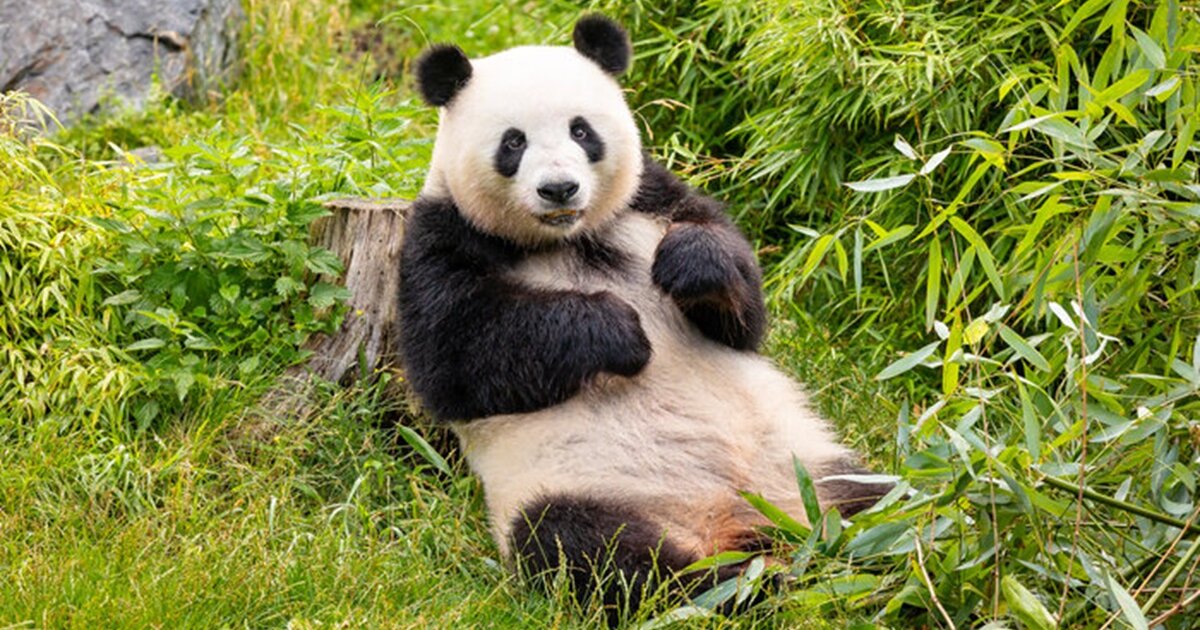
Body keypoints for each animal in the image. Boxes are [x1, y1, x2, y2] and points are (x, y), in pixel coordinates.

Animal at [399, 14, 889, 619]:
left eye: (581, 131)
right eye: (513, 142)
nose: (559, 188)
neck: (571, 237)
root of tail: (731, 523)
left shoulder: (651, 201)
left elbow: (743, 310)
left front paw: (693, 266)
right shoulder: (443, 235)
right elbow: (456, 357)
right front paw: (619, 331)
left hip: (807, 464)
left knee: (882, 496)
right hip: (582, 487)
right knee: (593, 550)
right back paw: (744, 586)